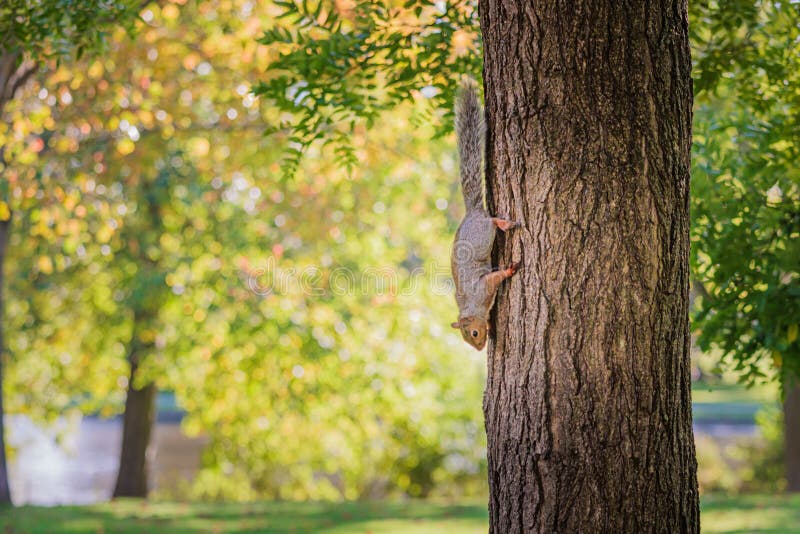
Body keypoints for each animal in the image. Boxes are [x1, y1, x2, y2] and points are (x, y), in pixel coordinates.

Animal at [450, 79, 520, 350]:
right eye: (469, 339)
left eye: (474, 334)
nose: (480, 348)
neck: (471, 305)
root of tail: (472, 214)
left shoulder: (482, 288)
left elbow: (495, 278)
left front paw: (509, 271)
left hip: (483, 232)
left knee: (492, 220)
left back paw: (503, 223)